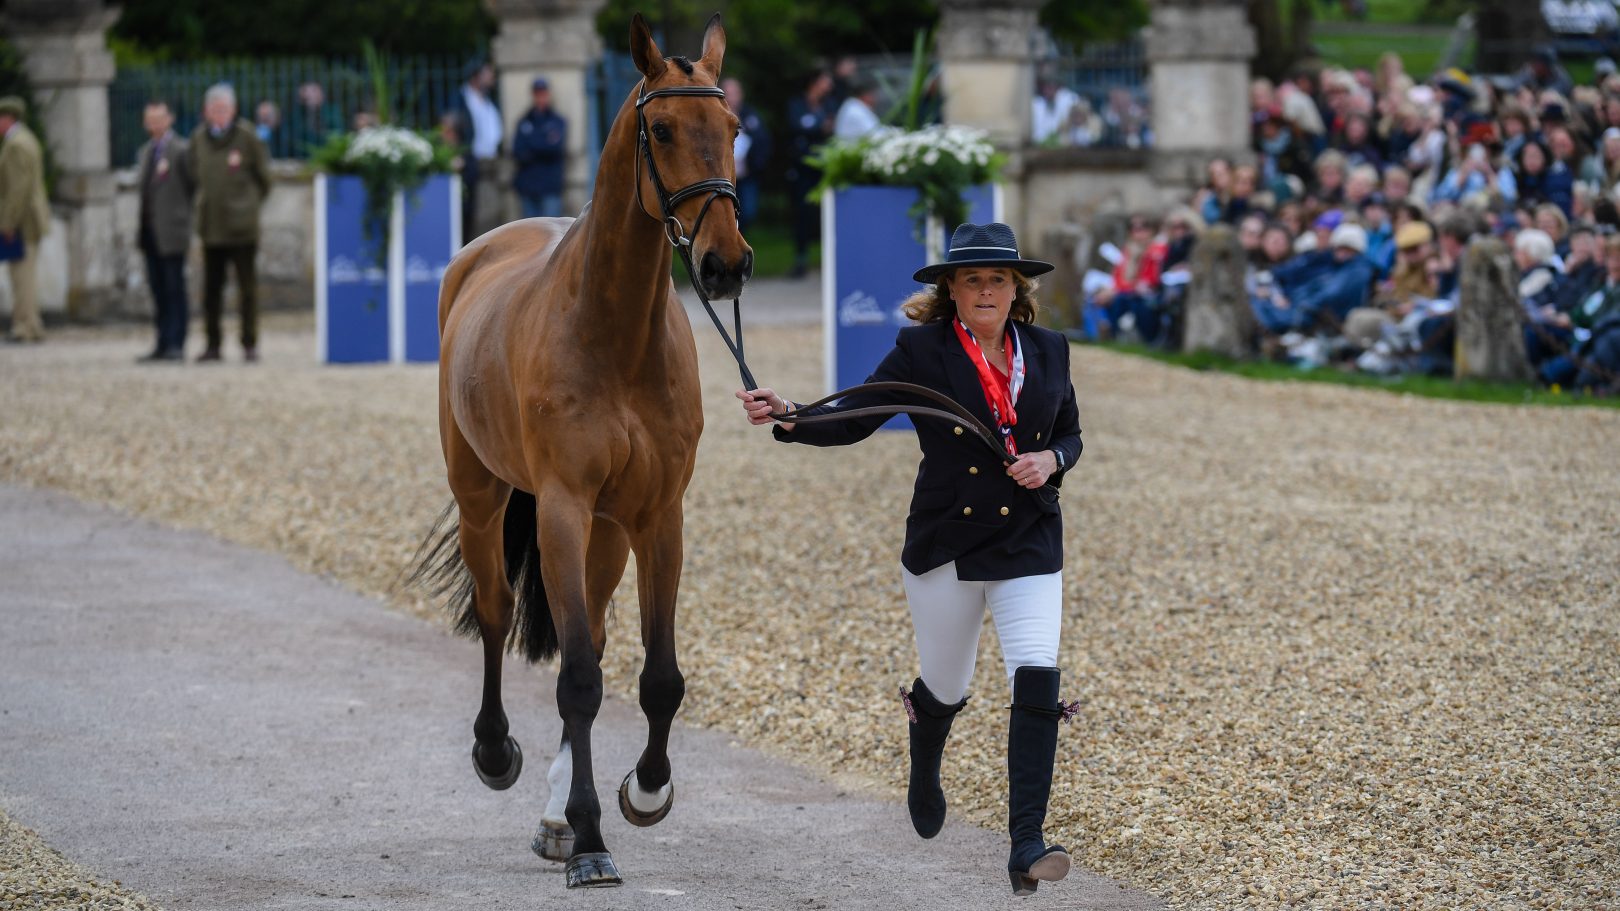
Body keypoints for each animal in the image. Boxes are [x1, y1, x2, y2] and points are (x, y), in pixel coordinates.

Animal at [411, 13, 751, 889]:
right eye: (661, 130)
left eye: (733, 127)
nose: (725, 263)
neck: (615, 334)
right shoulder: (560, 508)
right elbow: (575, 679)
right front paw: (593, 834)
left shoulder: (657, 516)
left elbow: (653, 675)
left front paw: (645, 791)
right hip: (483, 499)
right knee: (498, 613)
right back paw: (498, 754)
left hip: (605, 530)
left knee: (587, 632)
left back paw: (557, 815)